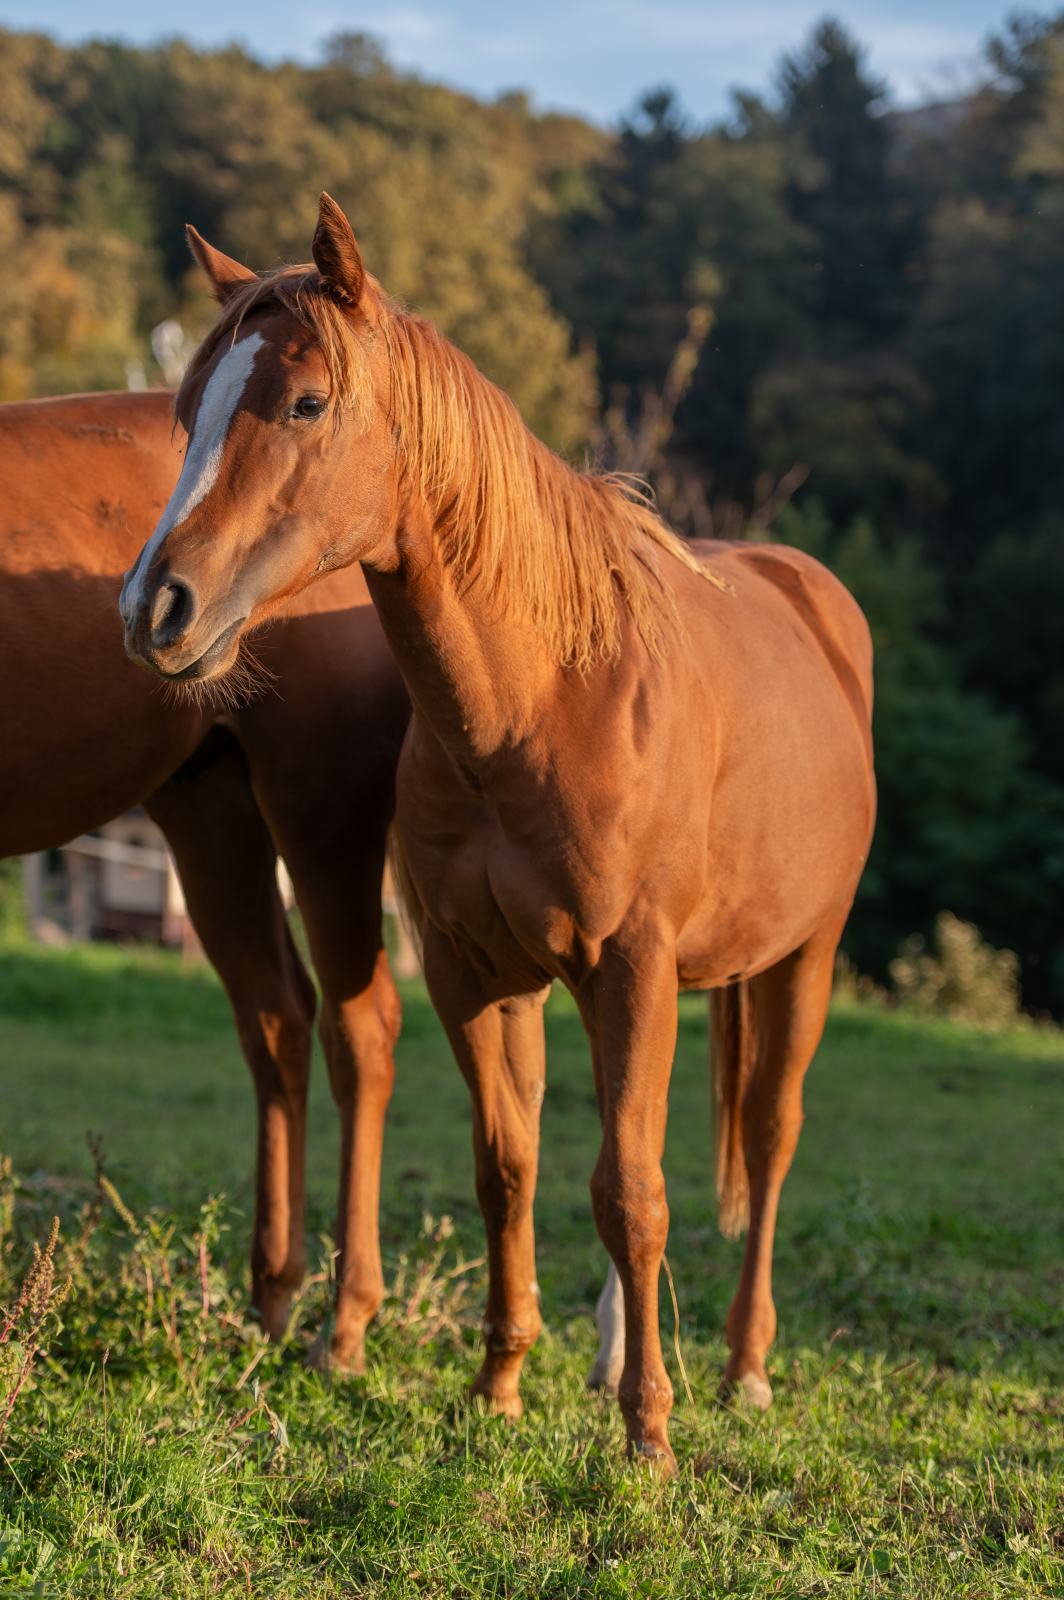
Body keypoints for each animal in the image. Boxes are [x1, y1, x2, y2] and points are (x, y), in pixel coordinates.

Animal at [0, 385, 411, 1373]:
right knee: (276, 1018)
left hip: (322, 804)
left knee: (359, 1031)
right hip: (209, 809)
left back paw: (345, 1318)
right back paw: (273, 1292)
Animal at [121, 195, 876, 1473]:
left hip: (800, 961)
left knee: (766, 1139)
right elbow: (511, 1169)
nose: (152, 607)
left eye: (304, 401)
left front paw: (647, 1439)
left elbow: (628, 1195)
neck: (548, 701)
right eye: (185, 414)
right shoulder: (478, 975)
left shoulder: (629, 969)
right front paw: (500, 1386)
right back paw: (616, 1352)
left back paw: (742, 1367)